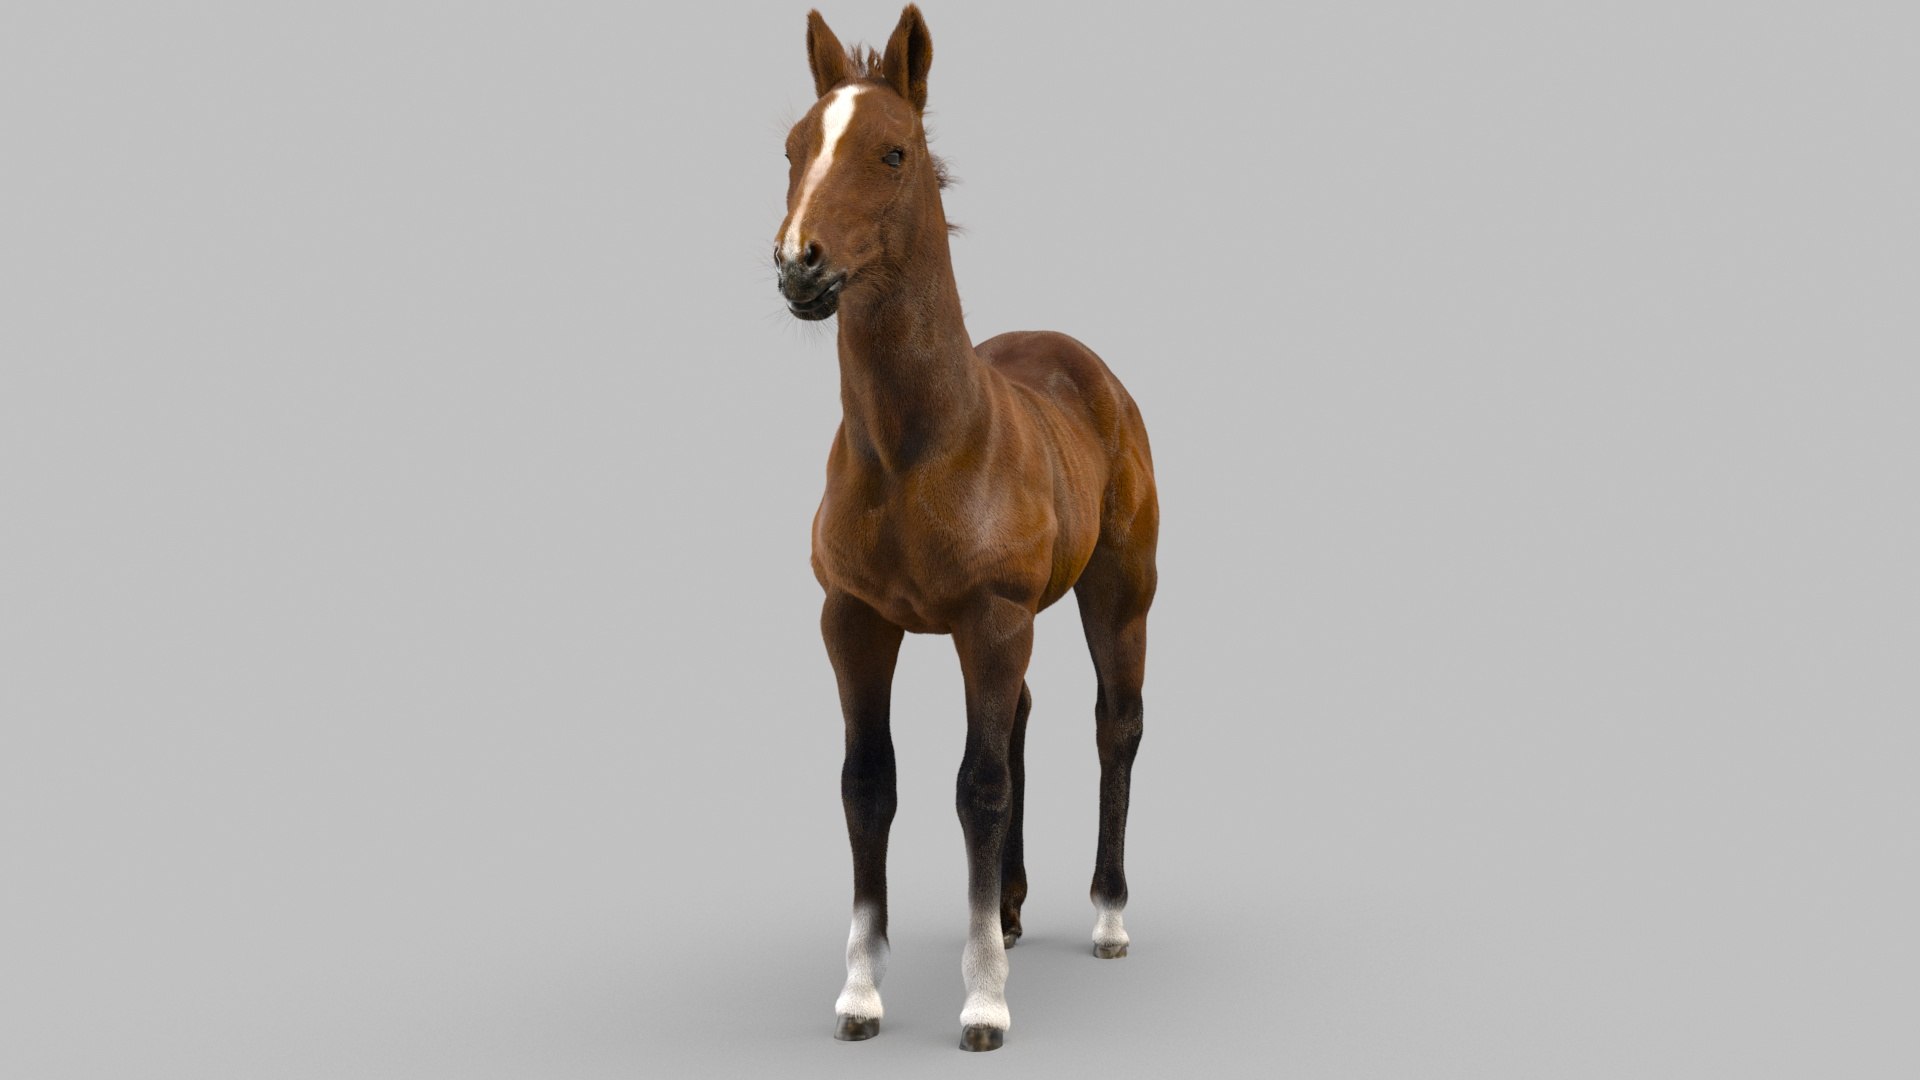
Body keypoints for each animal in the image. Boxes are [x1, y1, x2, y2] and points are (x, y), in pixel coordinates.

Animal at [772, 5, 1159, 1052]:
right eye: (794, 148)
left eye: (893, 152)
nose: (797, 263)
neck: (919, 451)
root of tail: (1083, 363)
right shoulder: (853, 619)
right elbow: (870, 784)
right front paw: (861, 995)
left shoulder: (992, 615)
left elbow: (977, 786)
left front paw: (983, 1002)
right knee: (1020, 716)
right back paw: (1016, 909)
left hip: (1117, 598)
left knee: (1114, 724)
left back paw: (1107, 919)